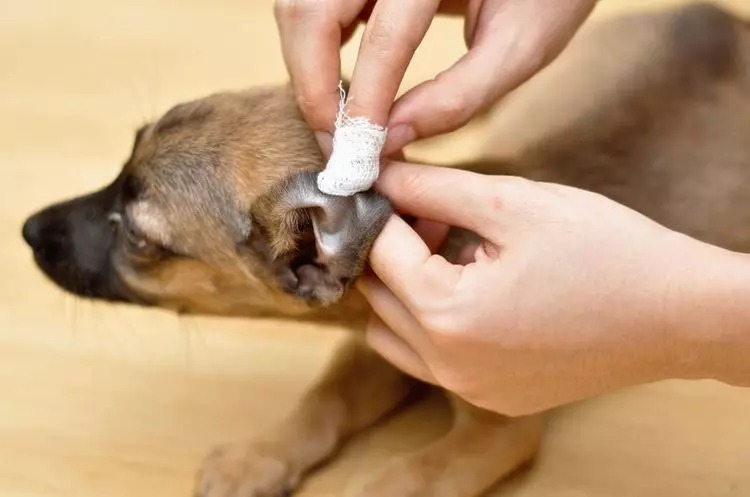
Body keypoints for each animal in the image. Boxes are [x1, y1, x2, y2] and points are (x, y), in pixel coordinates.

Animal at [20, 3, 750, 496]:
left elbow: (405, 476)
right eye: (124, 156)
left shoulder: (495, 432)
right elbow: (323, 404)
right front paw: (260, 455)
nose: (26, 229)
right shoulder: (373, 351)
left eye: (139, 237)